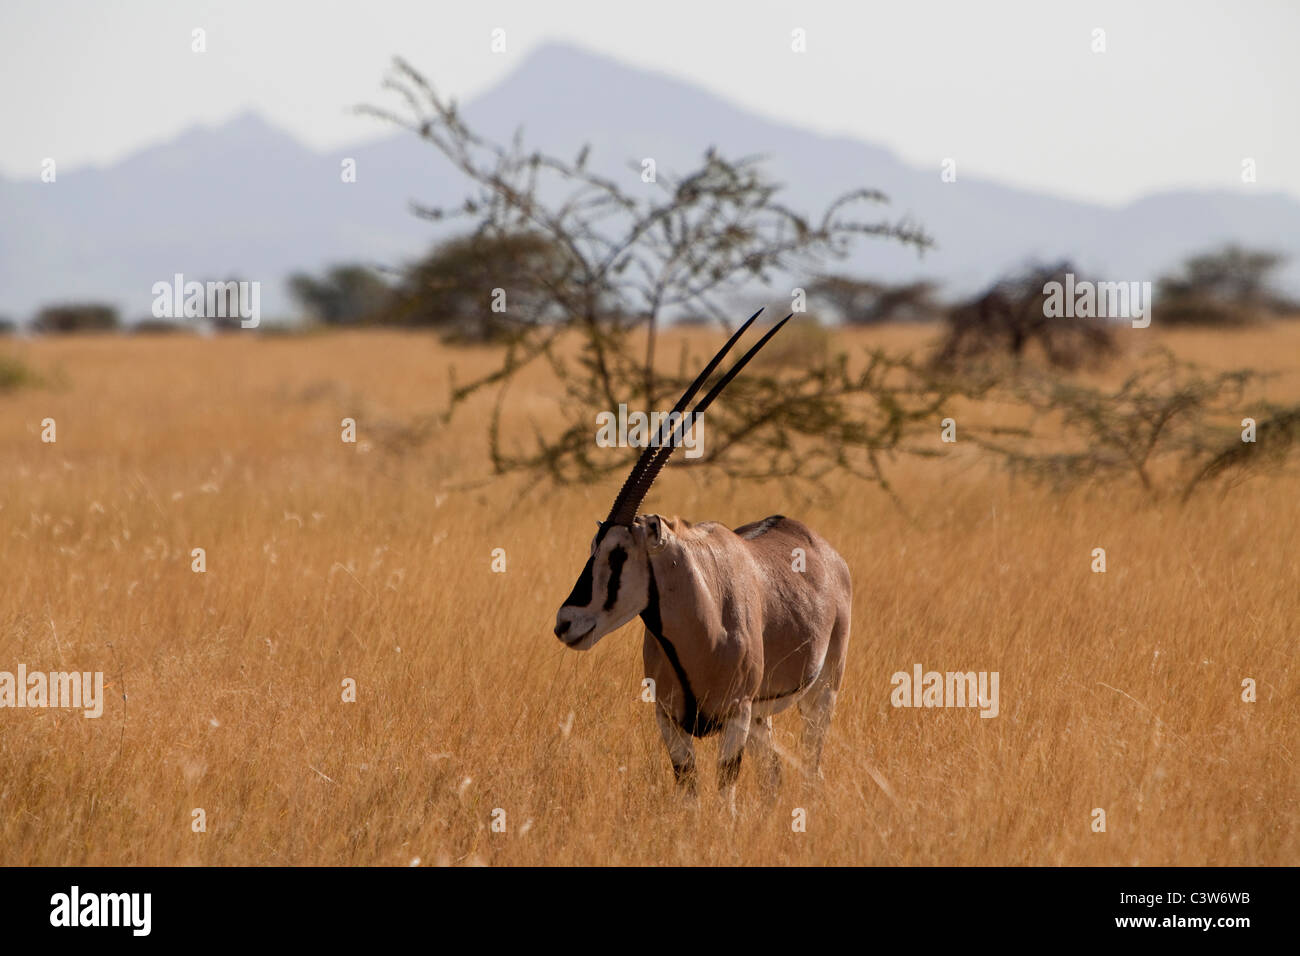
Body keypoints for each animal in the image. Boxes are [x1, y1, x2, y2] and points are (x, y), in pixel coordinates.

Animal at [553, 310, 852, 810]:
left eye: (618, 553)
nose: (565, 622)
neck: (703, 620)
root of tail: (822, 549)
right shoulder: (670, 722)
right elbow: (690, 794)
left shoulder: (736, 717)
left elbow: (725, 796)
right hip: (763, 719)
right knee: (774, 776)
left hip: (820, 693)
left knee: (812, 768)